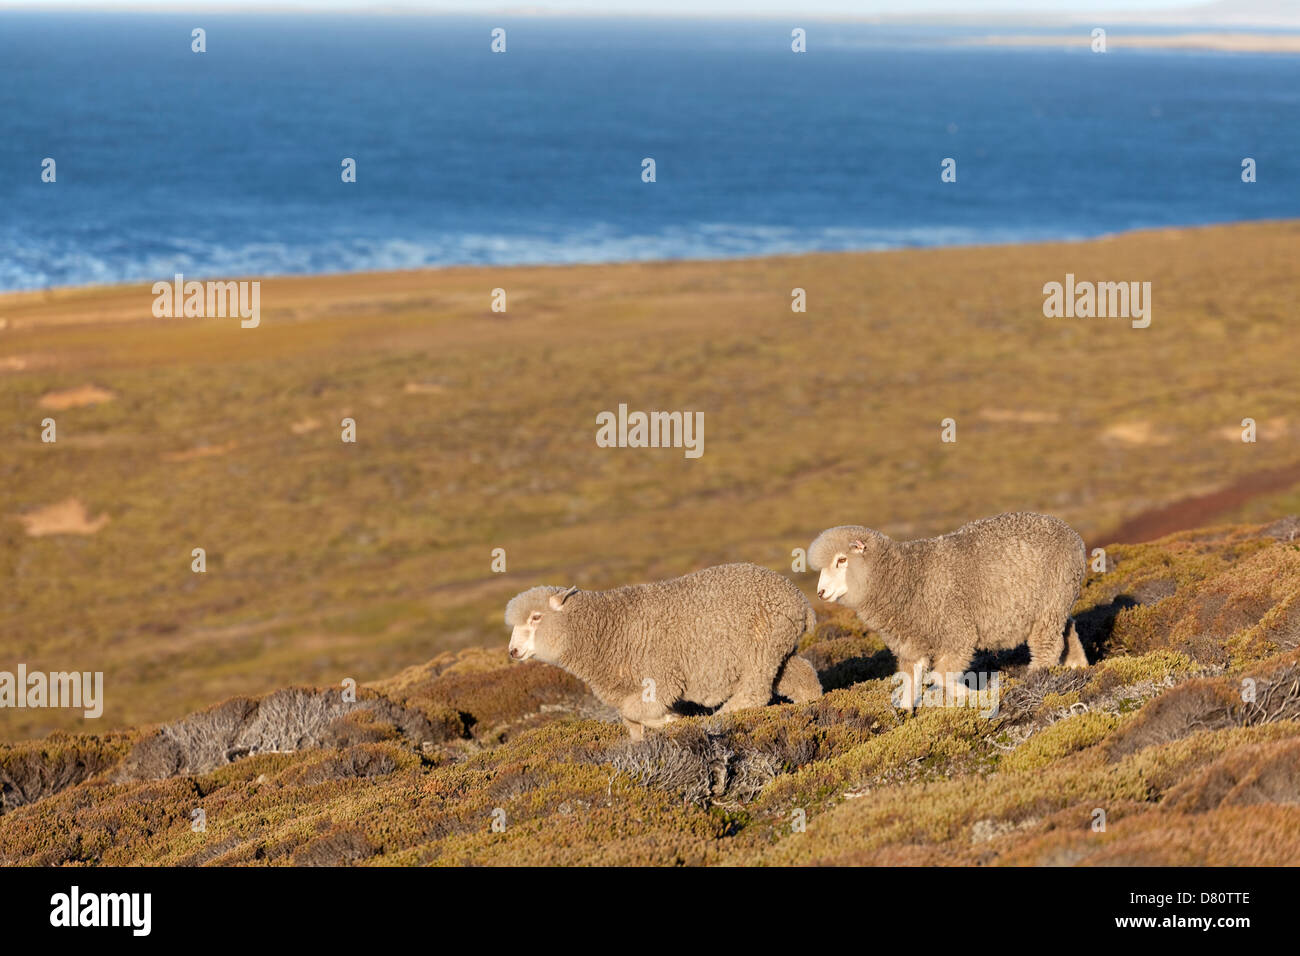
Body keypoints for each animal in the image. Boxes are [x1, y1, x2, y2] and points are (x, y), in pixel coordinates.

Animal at [504, 563, 823, 739]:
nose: (513, 651)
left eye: (536, 618)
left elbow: (635, 711)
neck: (604, 629)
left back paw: (721, 716)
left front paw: (671, 721)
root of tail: (801, 602)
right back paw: (812, 705)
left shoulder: (660, 679)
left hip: (759, 648)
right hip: (777, 650)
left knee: (755, 693)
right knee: (801, 675)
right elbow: (631, 719)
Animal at [808, 512, 1087, 712]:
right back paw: (1078, 667)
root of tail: (1074, 536)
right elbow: (912, 681)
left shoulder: (956, 633)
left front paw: (976, 695)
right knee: (1068, 631)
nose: (820, 592)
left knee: (1048, 647)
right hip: (1057, 603)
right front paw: (905, 714)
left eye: (842, 560)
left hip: (1050, 603)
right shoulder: (913, 645)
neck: (905, 577)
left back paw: (1036, 679)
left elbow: (940, 678)